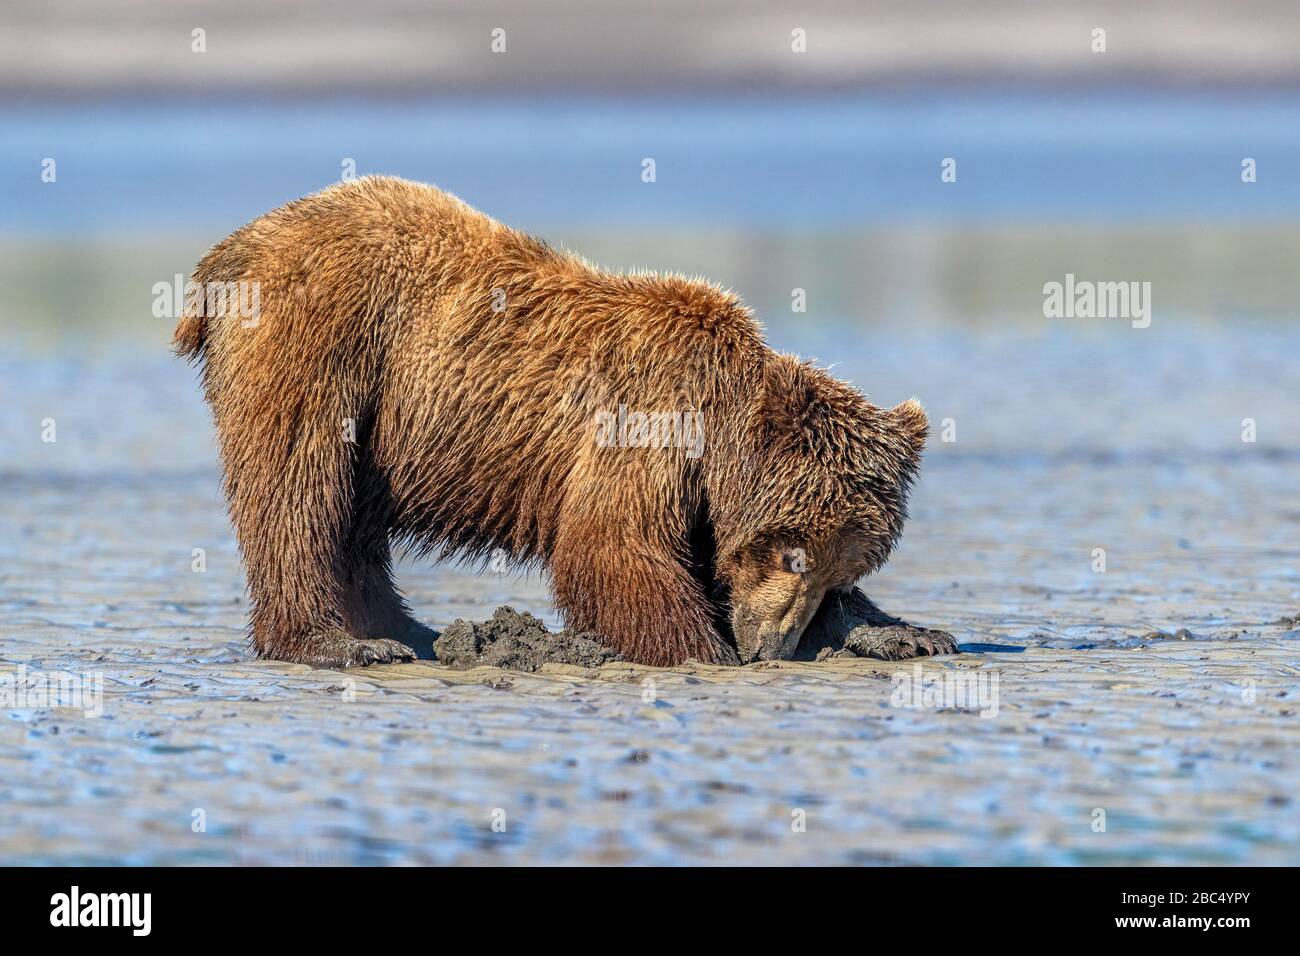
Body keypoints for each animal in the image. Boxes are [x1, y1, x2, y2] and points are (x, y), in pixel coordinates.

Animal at [174, 175, 945, 668]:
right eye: (793, 553)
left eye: (839, 565)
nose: (771, 646)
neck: (715, 424)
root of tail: (229, 249)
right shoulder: (645, 423)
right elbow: (610, 544)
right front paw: (705, 649)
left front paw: (905, 631)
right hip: (326, 344)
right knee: (299, 490)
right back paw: (343, 643)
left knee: (353, 516)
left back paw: (409, 629)